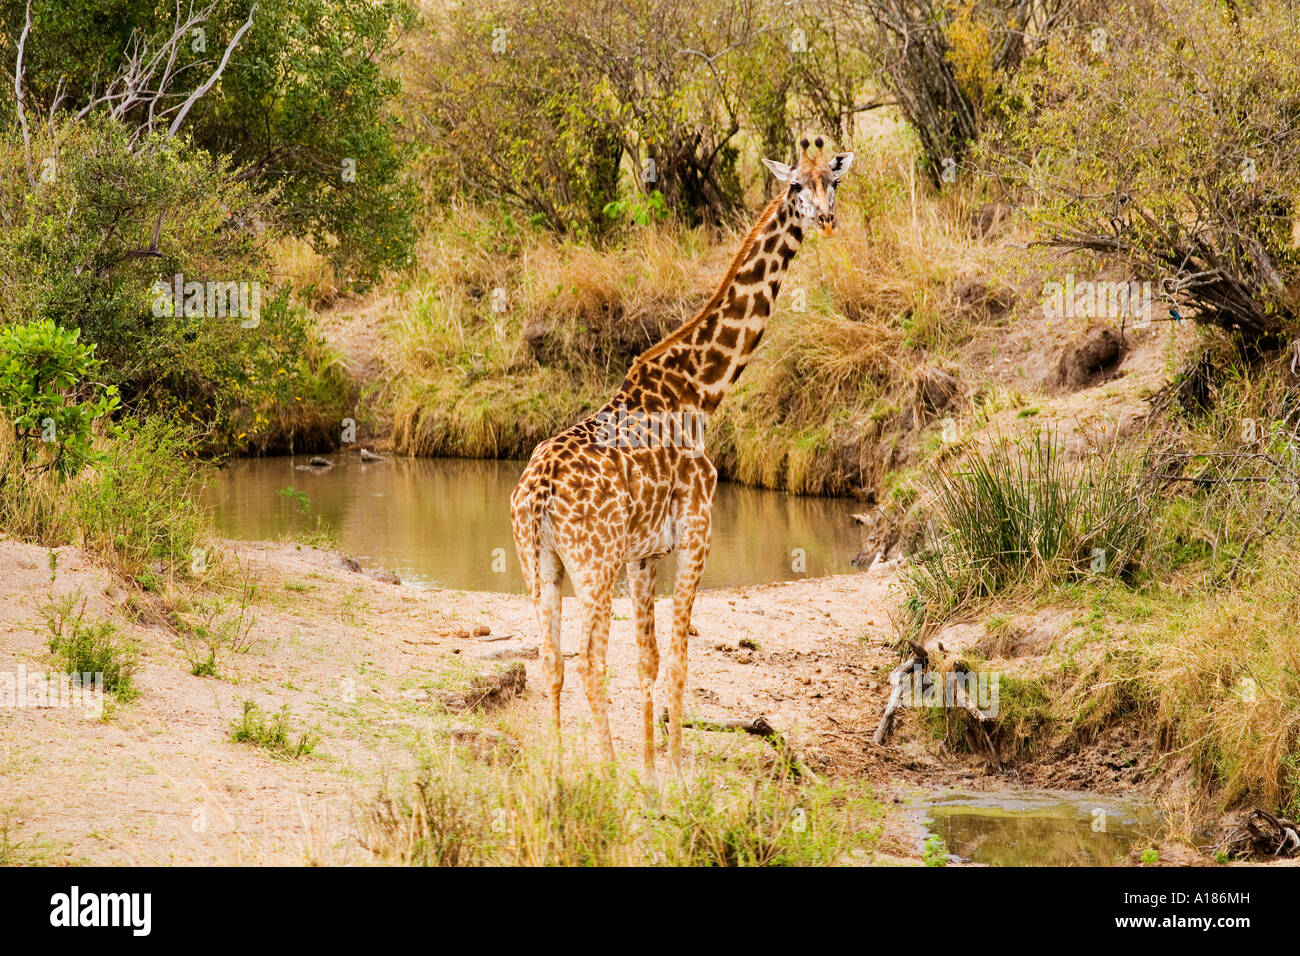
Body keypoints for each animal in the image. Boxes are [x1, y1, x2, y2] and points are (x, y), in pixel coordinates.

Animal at [510, 137, 853, 789]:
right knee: (588, 659)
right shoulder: (699, 528)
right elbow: (678, 658)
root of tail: (537, 491)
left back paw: (562, 773)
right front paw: (671, 776)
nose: (826, 219)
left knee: (550, 660)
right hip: (594, 562)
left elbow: (647, 659)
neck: (700, 392)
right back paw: (605, 774)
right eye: (795, 185)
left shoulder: (644, 554)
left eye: (834, 180)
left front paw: (650, 774)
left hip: (540, 563)